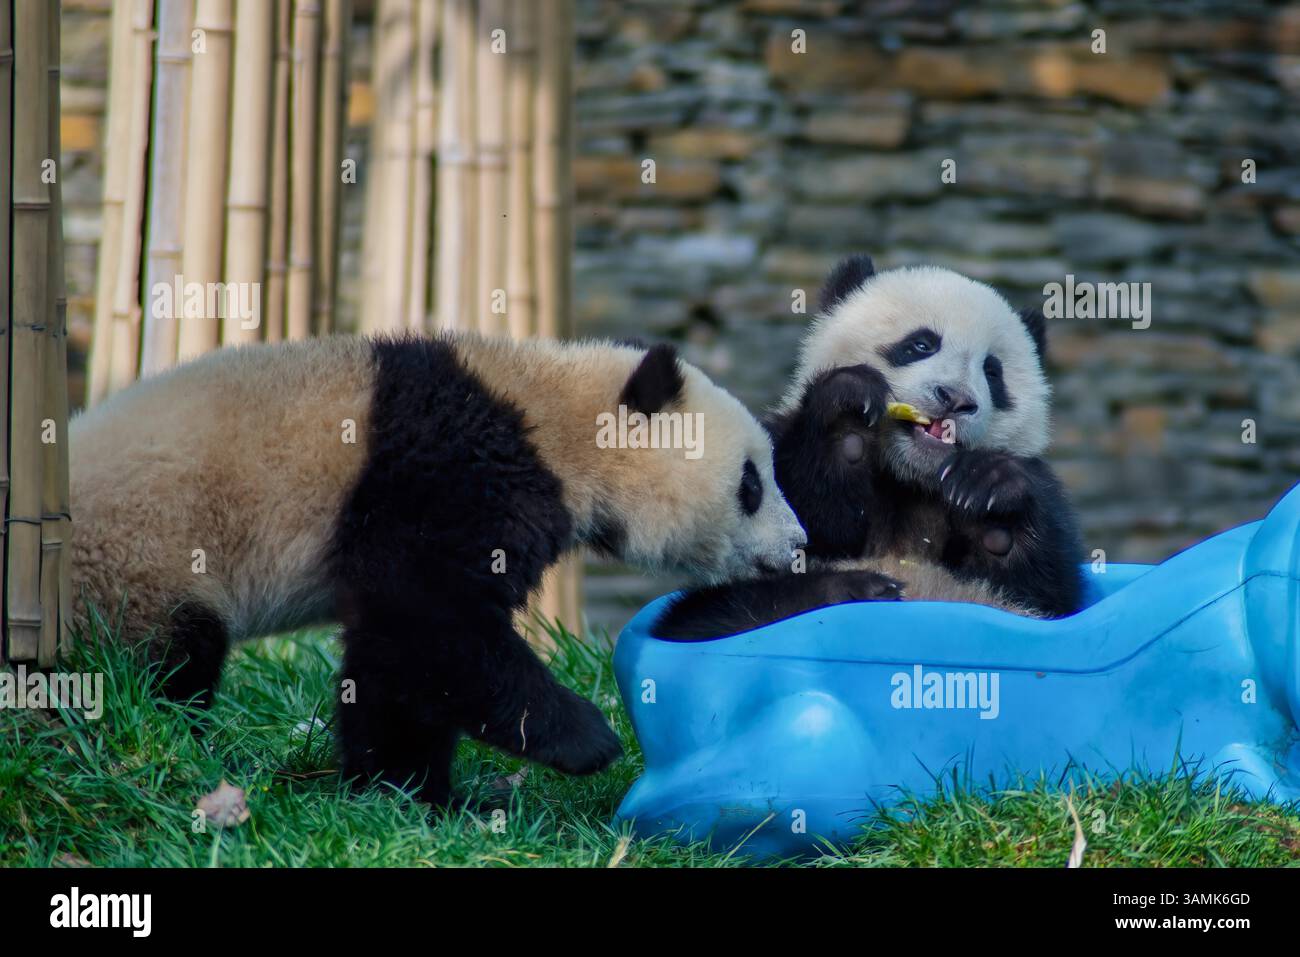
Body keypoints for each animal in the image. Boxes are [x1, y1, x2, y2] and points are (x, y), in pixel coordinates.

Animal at [69, 333, 806, 805]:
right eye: (751, 483)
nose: (798, 544)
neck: (557, 421)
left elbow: (399, 660)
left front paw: (410, 792)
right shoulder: (445, 470)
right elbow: (425, 622)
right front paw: (586, 739)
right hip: (141, 557)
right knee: (161, 664)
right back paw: (173, 748)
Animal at [657, 255, 1085, 640]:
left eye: (993, 372)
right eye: (921, 344)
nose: (955, 399)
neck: (909, 479)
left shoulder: (1042, 497)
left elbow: (1048, 593)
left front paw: (989, 487)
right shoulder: (771, 453)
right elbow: (798, 526)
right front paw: (848, 416)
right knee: (716, 613)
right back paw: (855, 589)